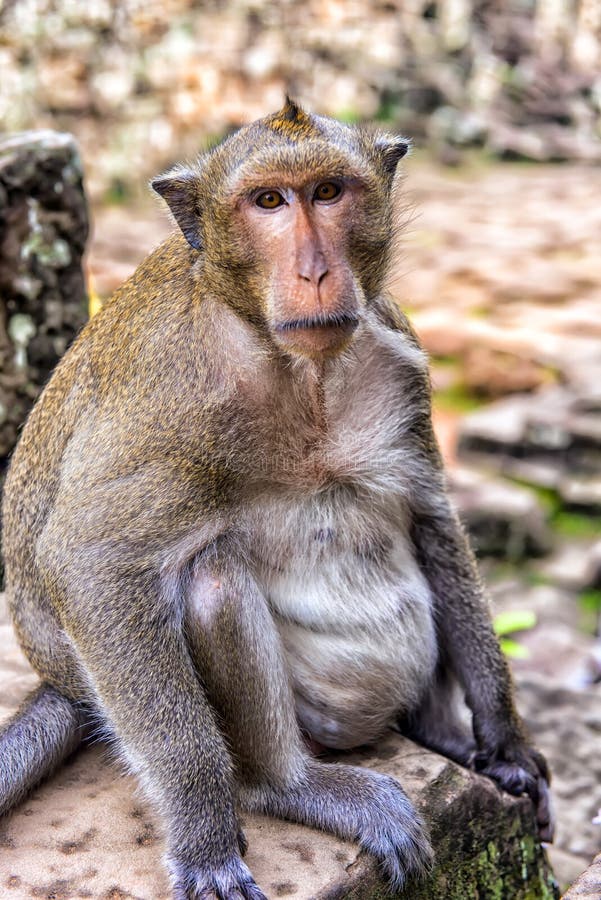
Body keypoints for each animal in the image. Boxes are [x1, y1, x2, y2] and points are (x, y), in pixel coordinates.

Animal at [0, 99, 553, 899]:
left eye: (327, 192)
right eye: (267, 202)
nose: (315, 269)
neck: (294, 364)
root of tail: (58, 679)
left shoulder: (400, 351)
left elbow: (431, 521)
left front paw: (507, 745)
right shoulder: (171, 398)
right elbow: (91, 562)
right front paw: (205, 840)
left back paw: (438, 734)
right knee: (211, 583)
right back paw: (290, 786)